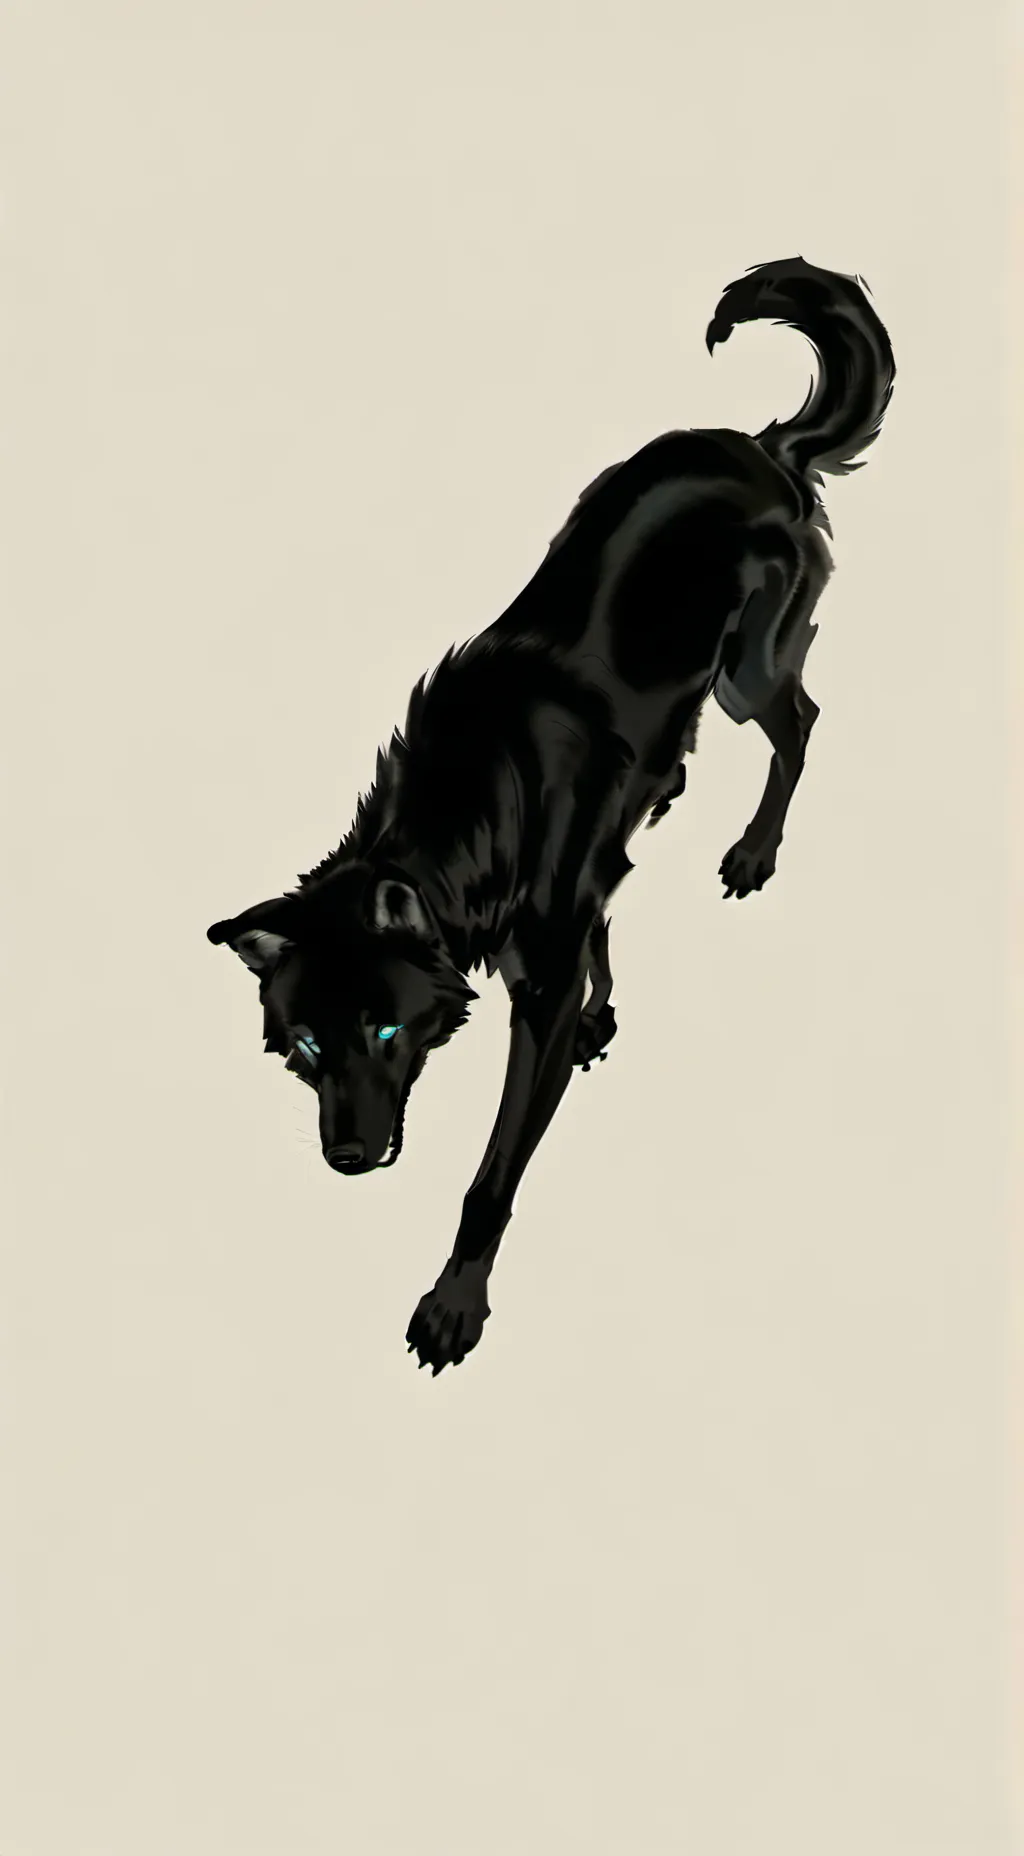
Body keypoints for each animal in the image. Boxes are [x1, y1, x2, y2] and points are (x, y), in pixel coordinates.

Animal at [208, 256, 895, 1376]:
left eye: (385, 1026)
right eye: (305, 1046)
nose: (349, 1158)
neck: (476, 808)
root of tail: (763, 445)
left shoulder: (532, 987)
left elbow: (489, 1177)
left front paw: (453, 1307)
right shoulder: (568, 899)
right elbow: (597, 934)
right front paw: (602, 1014)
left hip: (745, 673)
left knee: (801, 723)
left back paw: (753, 852)